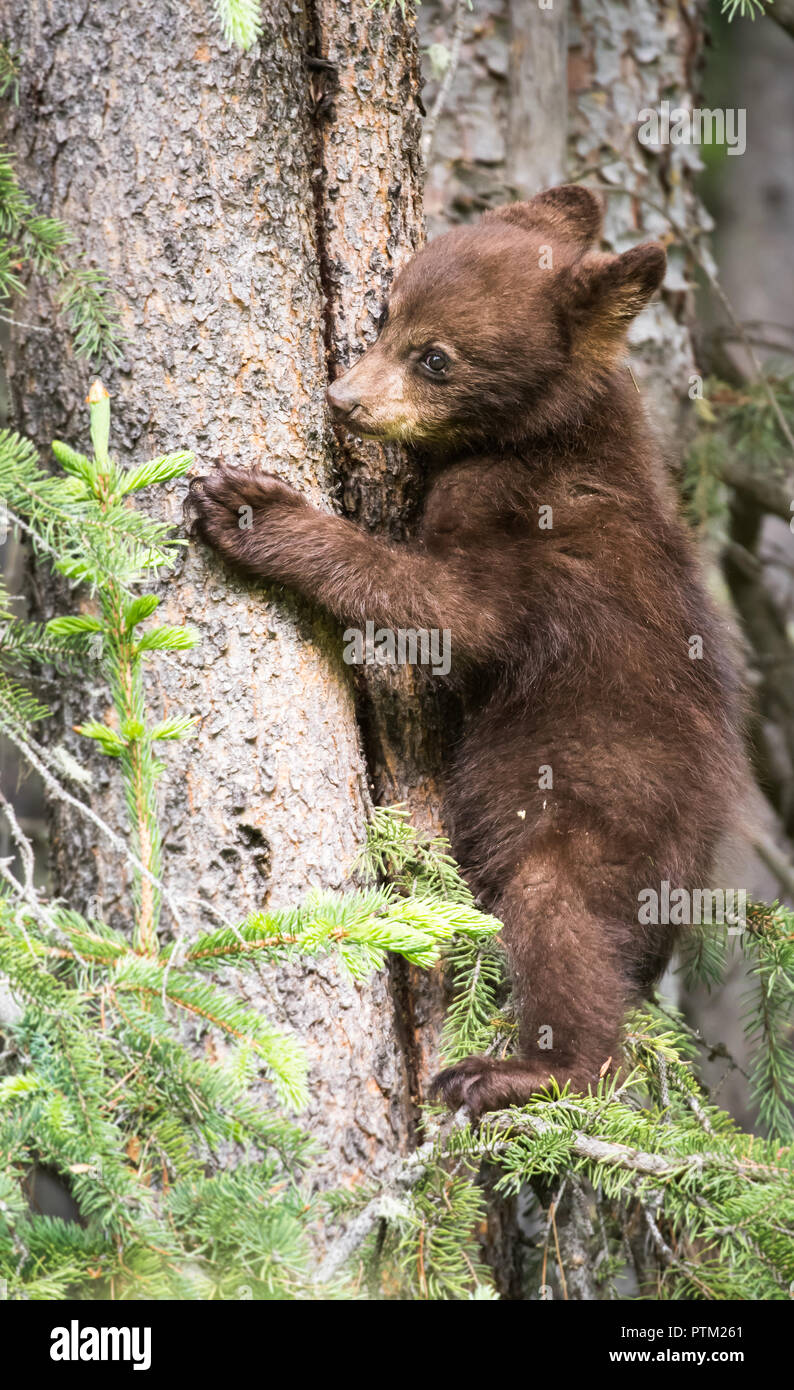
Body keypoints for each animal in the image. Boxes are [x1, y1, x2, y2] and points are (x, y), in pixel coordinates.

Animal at [188, 184, 745, 1117]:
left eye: (438, 358)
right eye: (385, 313)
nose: (344, 398)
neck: (538, 438)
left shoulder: (539, 550)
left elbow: (444, 610)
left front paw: (251, 510)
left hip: (591, 837)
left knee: (565, 937)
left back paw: (521, 1071)